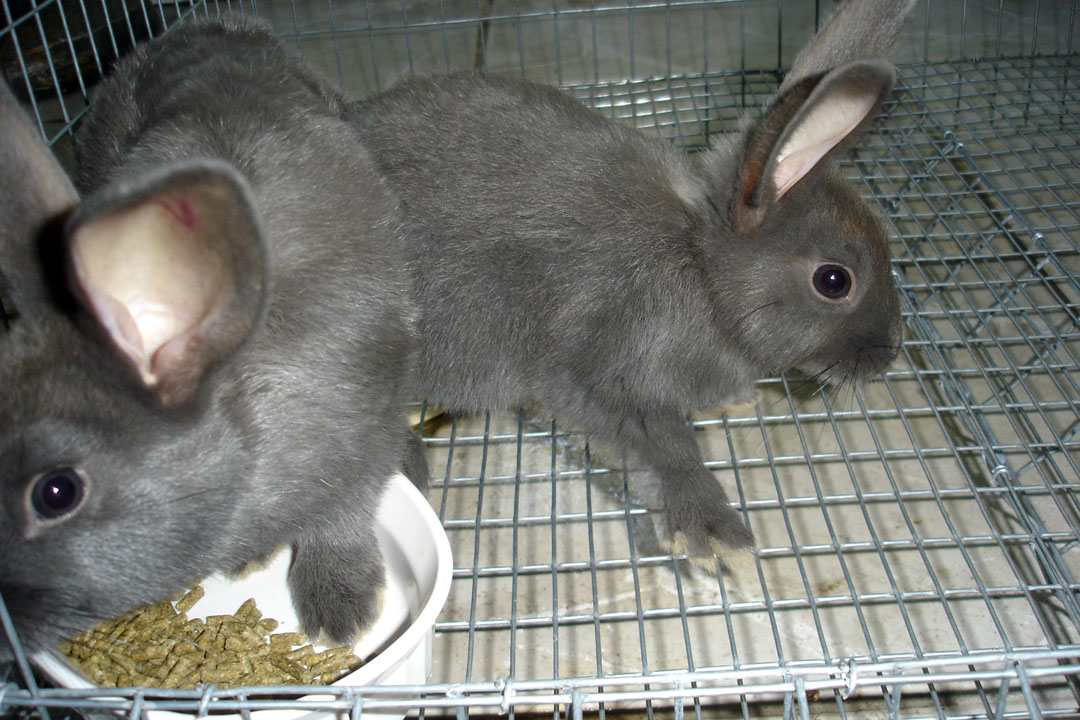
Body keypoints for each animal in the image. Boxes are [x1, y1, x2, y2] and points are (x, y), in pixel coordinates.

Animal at [348, 0, 912, 566]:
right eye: (834, 281)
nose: (888, 356)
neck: (702, 270)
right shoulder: (601, 368)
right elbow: (665, 443)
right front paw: (715, 537)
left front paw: (730, 401)